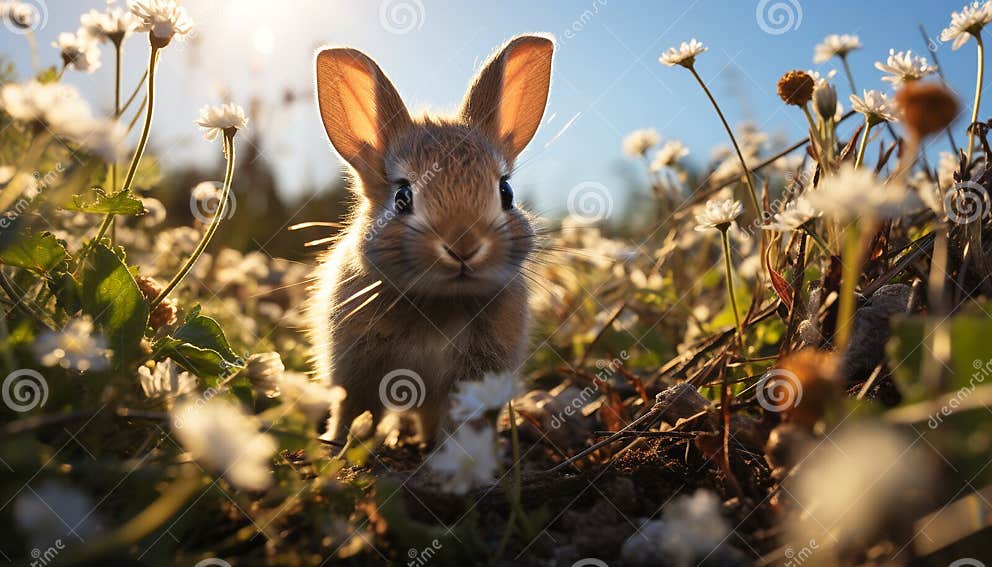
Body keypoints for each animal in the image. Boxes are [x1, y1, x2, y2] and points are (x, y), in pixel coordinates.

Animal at [308, 34, 555, 443]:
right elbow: (353, 408)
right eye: (402, 197)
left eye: (506, 193)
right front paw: (340, 441)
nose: (463, 246)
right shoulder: (356, 370)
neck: (440, 300)